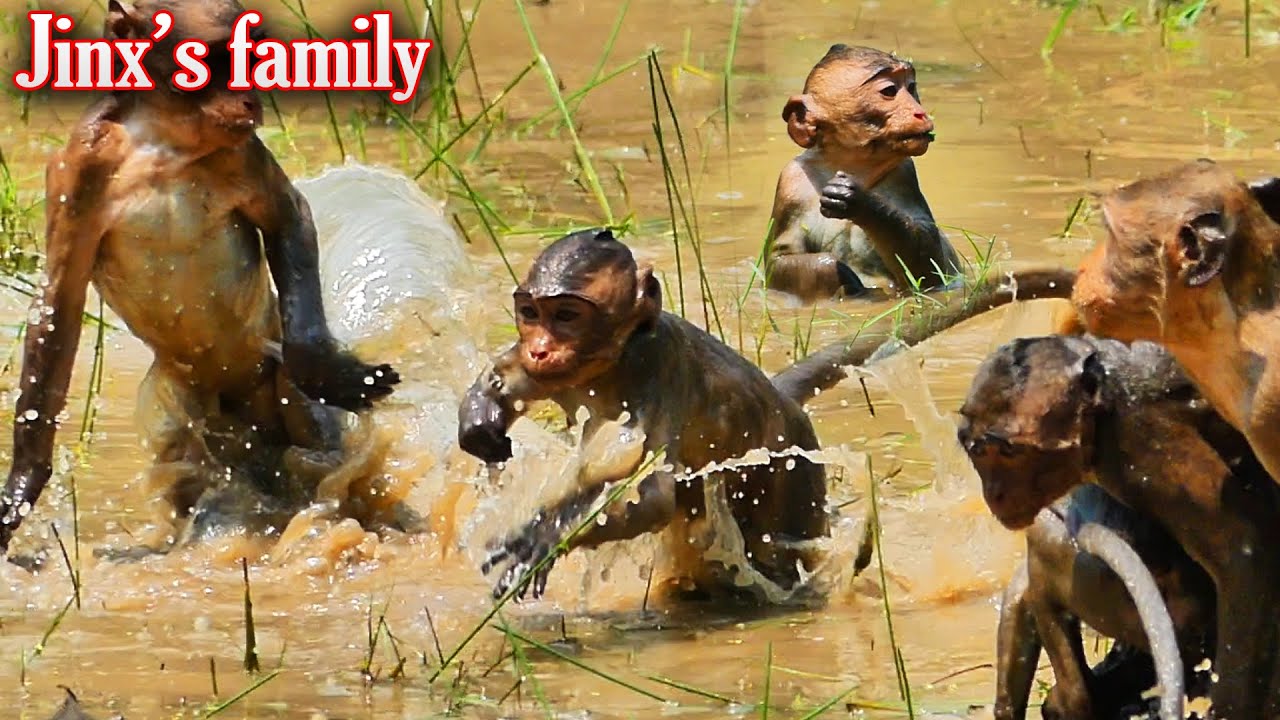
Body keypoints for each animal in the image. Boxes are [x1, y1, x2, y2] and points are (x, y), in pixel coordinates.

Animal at [0, 0, 401, 554]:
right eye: (214, 57)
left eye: (253, 57)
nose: (251, 97)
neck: (160, 142)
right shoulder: (76, 168)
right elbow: (58, 306)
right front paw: (20, 489)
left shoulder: (242, 149)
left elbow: (290, 217)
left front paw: (328, 371)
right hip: (181, 407)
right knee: (190, 464)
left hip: (277, 391)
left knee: (318, 446)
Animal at [457, 228, 830, 602]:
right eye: (530, 313)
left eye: (566, 316)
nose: (539, 350)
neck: (613, 362)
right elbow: (509, 377)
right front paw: (481, 420)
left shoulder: (653, 365)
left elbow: (652, 495)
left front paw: (547, 534)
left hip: (800, 479)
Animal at [764, 44, 963, 303]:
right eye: (889, 91)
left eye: (911, 87)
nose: (920, 113)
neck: (849, 162)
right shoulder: (790, 182)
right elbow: (779, 258)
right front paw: (835, 273)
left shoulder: (904, 175)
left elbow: (930, 269)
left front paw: (861, 202)